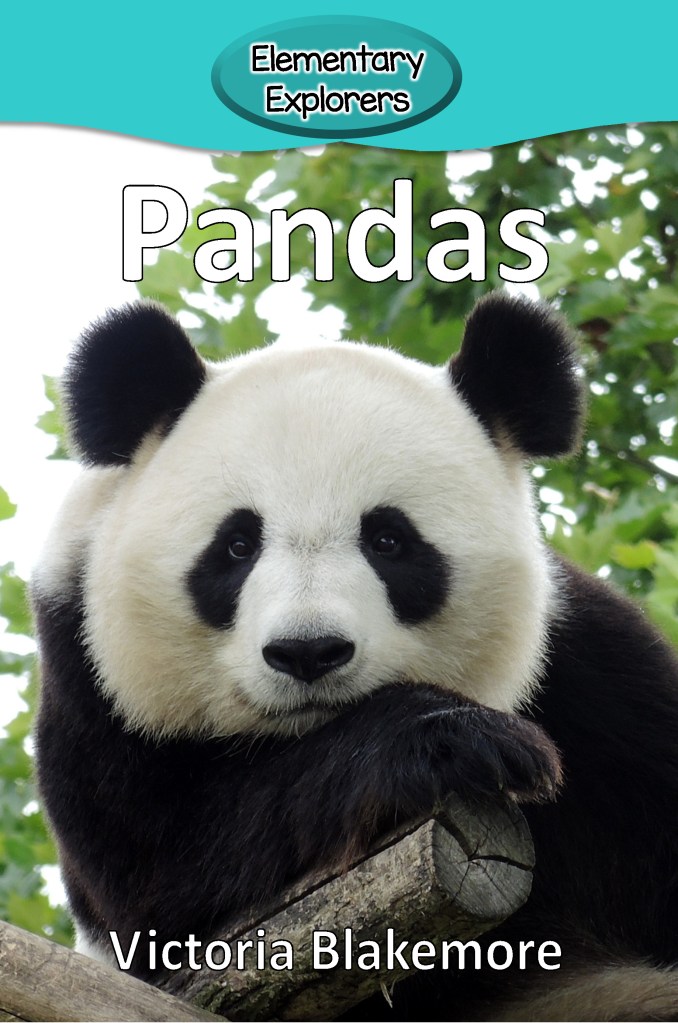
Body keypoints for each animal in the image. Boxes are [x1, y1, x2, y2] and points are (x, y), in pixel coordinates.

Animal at [32, 293, 678, 1022]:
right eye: (236, 546)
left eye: (389, 539)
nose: (307, 651)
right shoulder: (89, 678)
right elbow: (169, 871)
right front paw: (454, 740)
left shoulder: (599, 681)